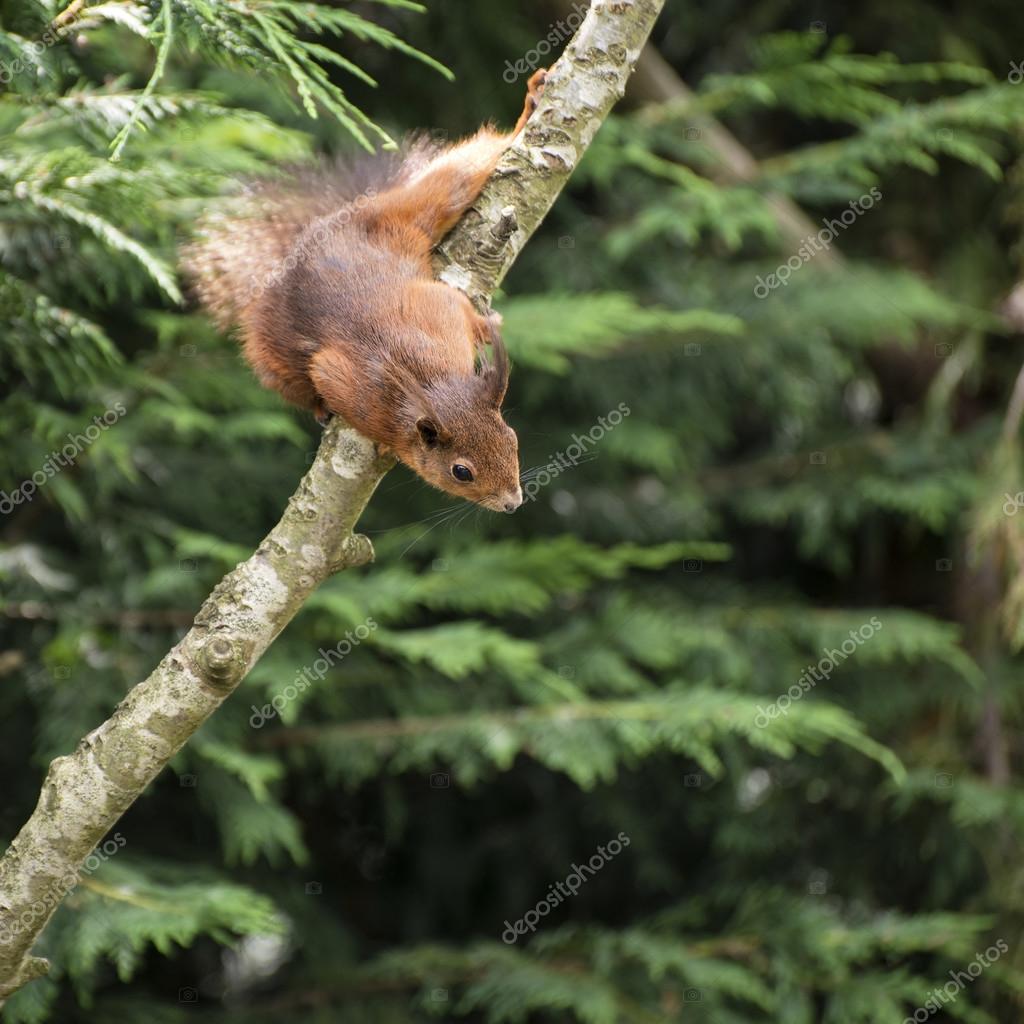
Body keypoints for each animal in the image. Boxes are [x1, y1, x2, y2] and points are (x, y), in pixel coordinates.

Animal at [185, 70, 548, 513]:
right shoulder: (352, 387)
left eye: (513, 439)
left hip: (411, 208)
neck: (425, 378)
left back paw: (529, 107)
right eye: (461, 472)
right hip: (272, 352)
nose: (512, 503)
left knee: (463, 170)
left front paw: (484, 324)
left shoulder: (437, 308)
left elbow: (458, 307)